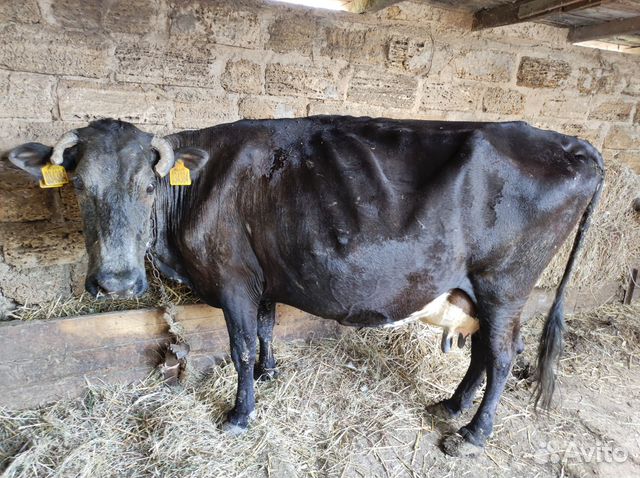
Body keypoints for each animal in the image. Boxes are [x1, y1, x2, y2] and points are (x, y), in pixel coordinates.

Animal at [7, 116, 603, 456]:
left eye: (148, 185)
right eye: (78, 186)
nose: (116, 282)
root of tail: (571, 144)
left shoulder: (233, 279)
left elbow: (241, 345)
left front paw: (239, 413)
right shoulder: (263, 277)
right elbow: (267, 329)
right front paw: (269, 375)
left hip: (504, 283)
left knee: (502, 353)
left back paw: (470, 436)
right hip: (478, 290)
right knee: (484, 350)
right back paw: (451, 406)